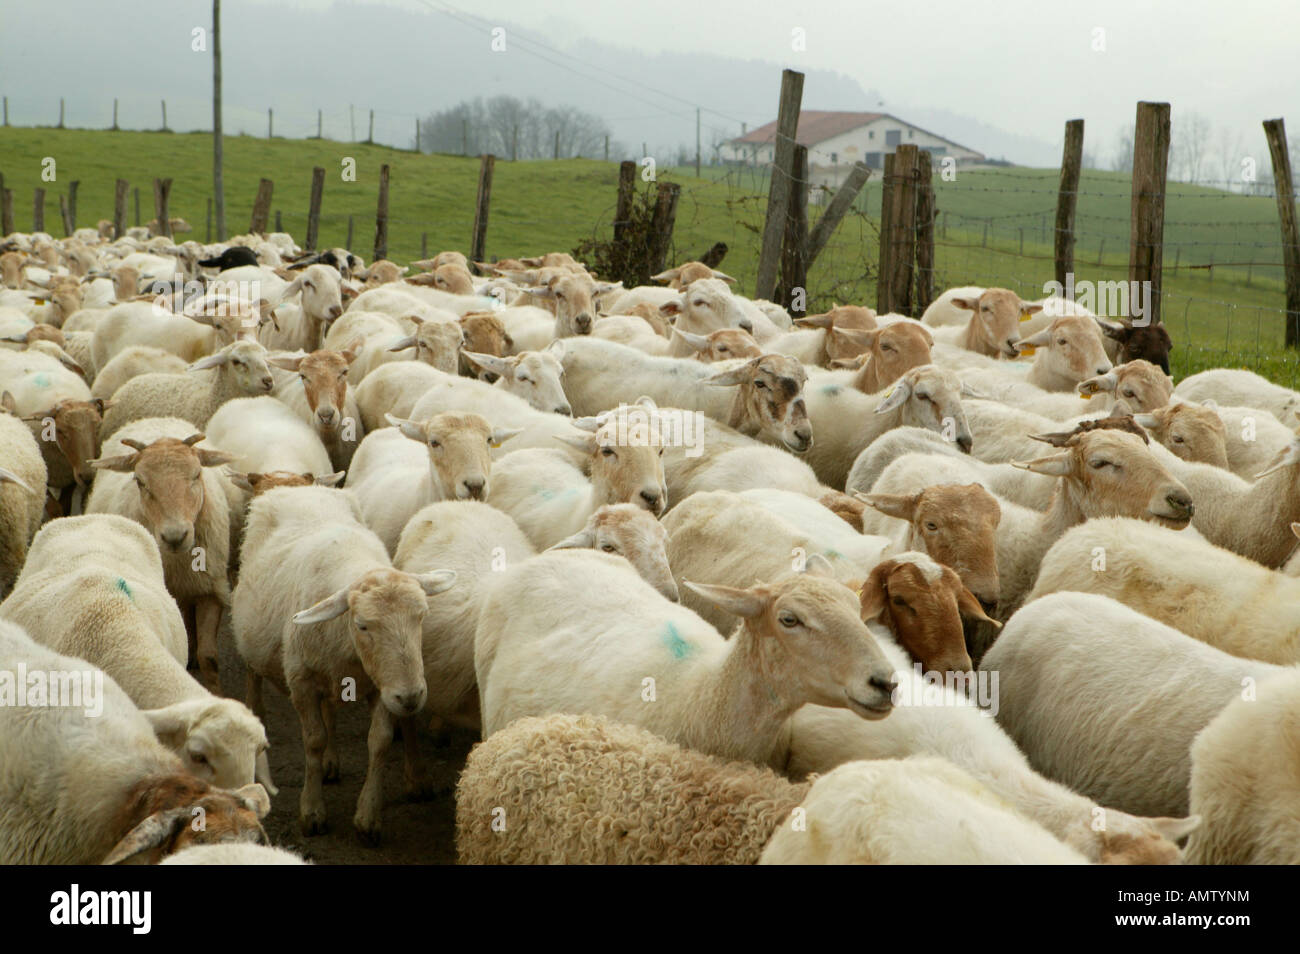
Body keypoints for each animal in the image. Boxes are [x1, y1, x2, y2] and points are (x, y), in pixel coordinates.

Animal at [85, 417, 238, 691]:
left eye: (197, 475)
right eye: (140, 481)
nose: (175, 536)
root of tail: (155, 420)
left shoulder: (211, 589)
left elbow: (209, 659)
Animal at [231, 485, 456, 841]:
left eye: (422, 615)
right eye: (363, 625)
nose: (411, 696)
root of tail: (299, 487)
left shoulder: (382, 686)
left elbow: (379, 741)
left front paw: (368, 816)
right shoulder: (302, 682)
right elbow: (313, 740)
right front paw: (312, 811)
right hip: (252, 648)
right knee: (255, 689)